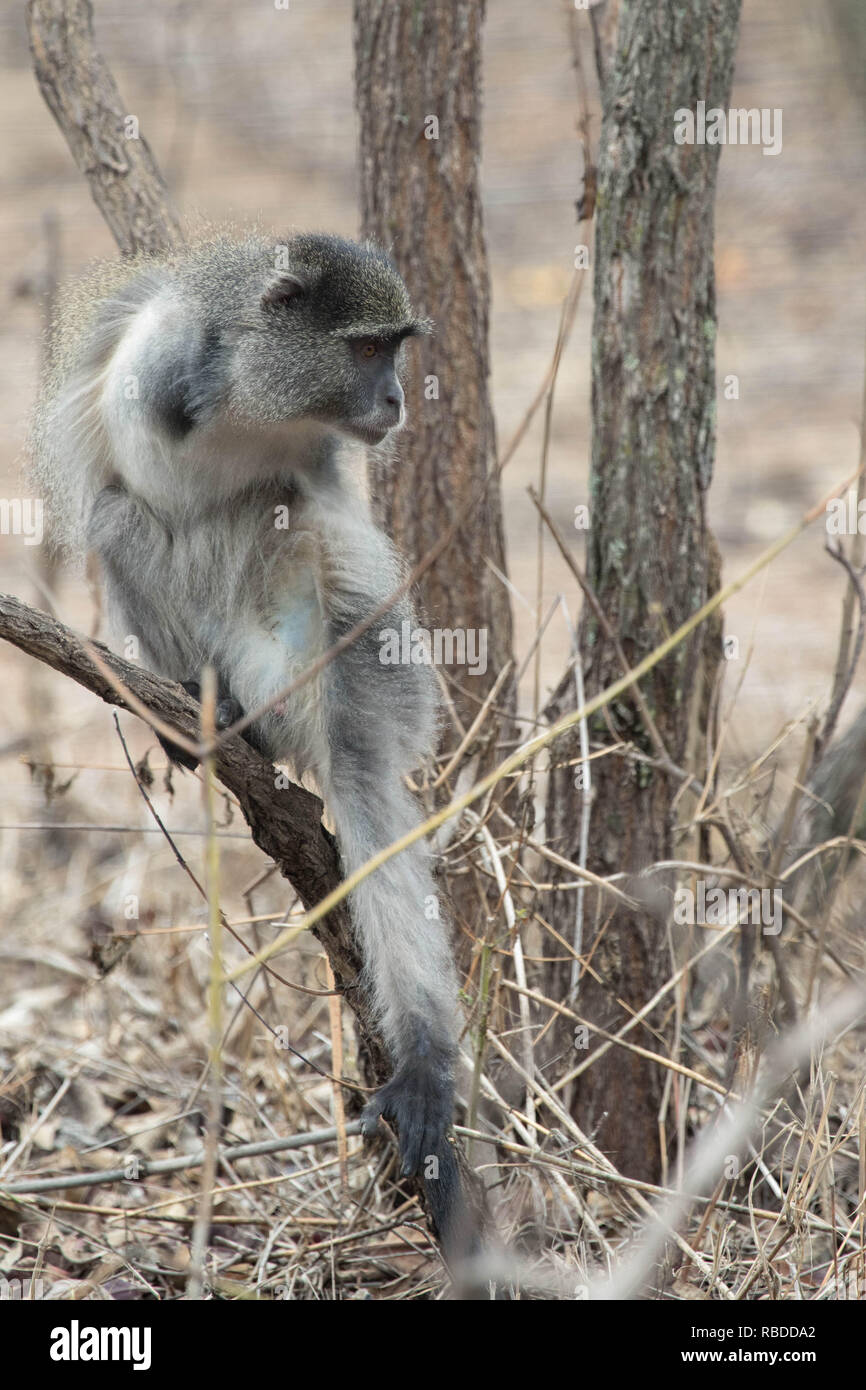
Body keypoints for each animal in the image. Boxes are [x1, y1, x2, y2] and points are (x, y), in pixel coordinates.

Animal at [32, 231, 466, 1252]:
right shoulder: (162, 357)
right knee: (121, 517)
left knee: (351, 718)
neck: (248, 399)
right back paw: (207, 719)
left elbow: (331, 536)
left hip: (294, 670)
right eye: (366, 350)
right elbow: (125, 467)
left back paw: (424, 1057)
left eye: (397, 349)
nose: (396, 401)